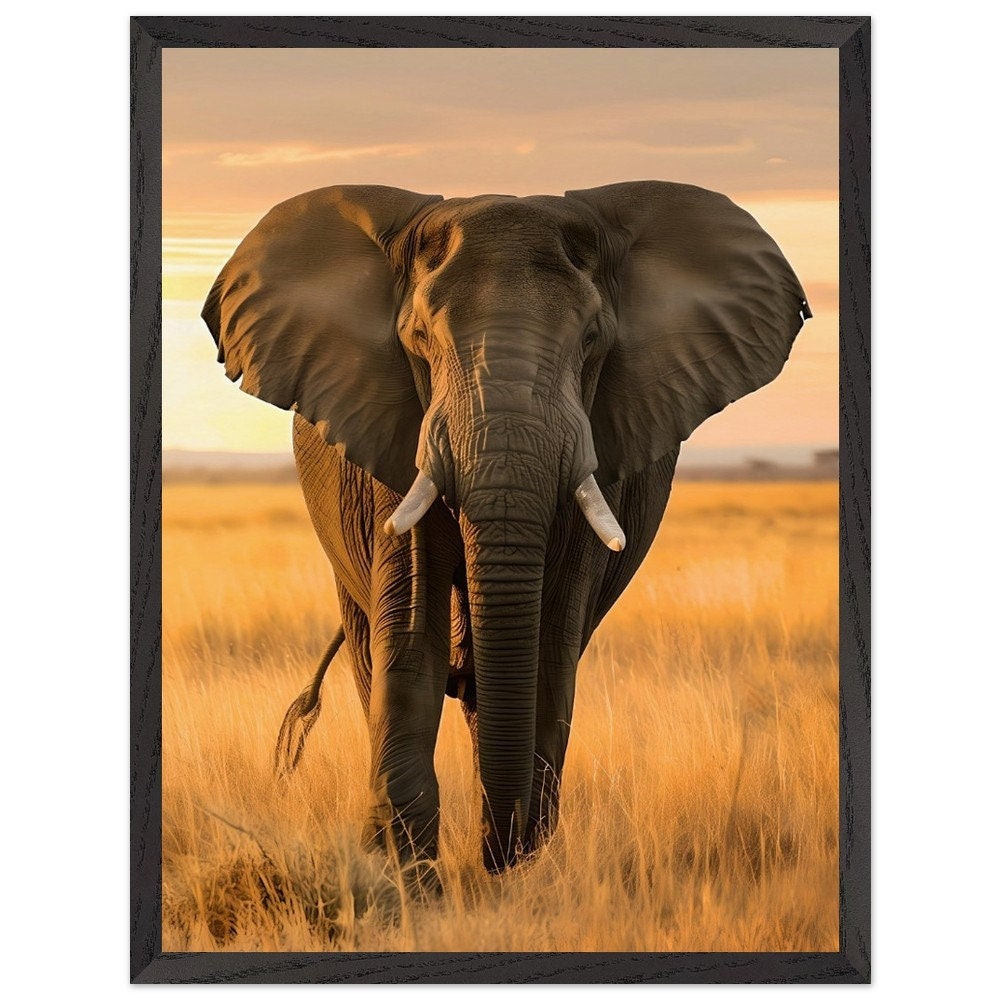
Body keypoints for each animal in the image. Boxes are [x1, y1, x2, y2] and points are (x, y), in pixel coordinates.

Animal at [202, 180, 810, 878]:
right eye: (417, 337)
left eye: (592, 338)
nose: (494, 857)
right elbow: (409, 634)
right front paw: (411, 880)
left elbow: (549, 641)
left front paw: (513, 874)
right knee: (371, 652)